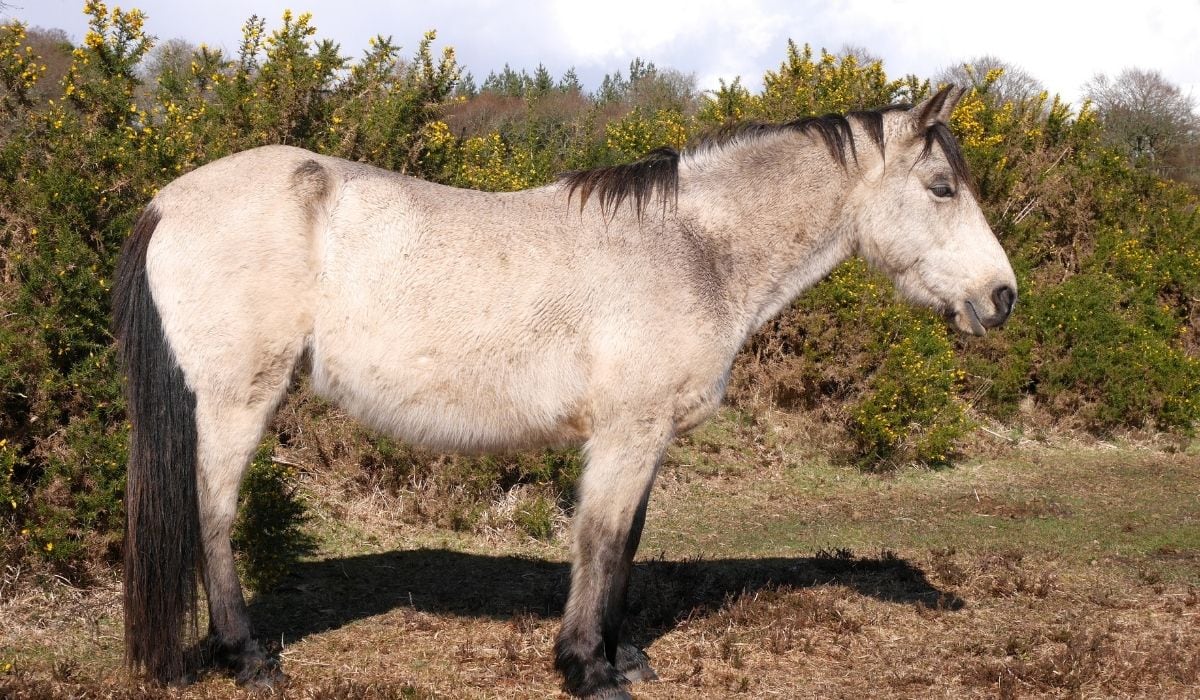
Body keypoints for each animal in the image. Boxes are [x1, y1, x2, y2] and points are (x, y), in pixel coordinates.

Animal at [112, 86, 1016, 698]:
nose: (1001, 297)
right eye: (942, 186)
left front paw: (622, 655)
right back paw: (247, 657)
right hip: (236, 400)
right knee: (213, 517)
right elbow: (602, 540)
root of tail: (168, 201)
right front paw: (587, 668)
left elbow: (628, 543)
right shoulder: (627, 432)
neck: (691, 248)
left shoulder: (643, 436)